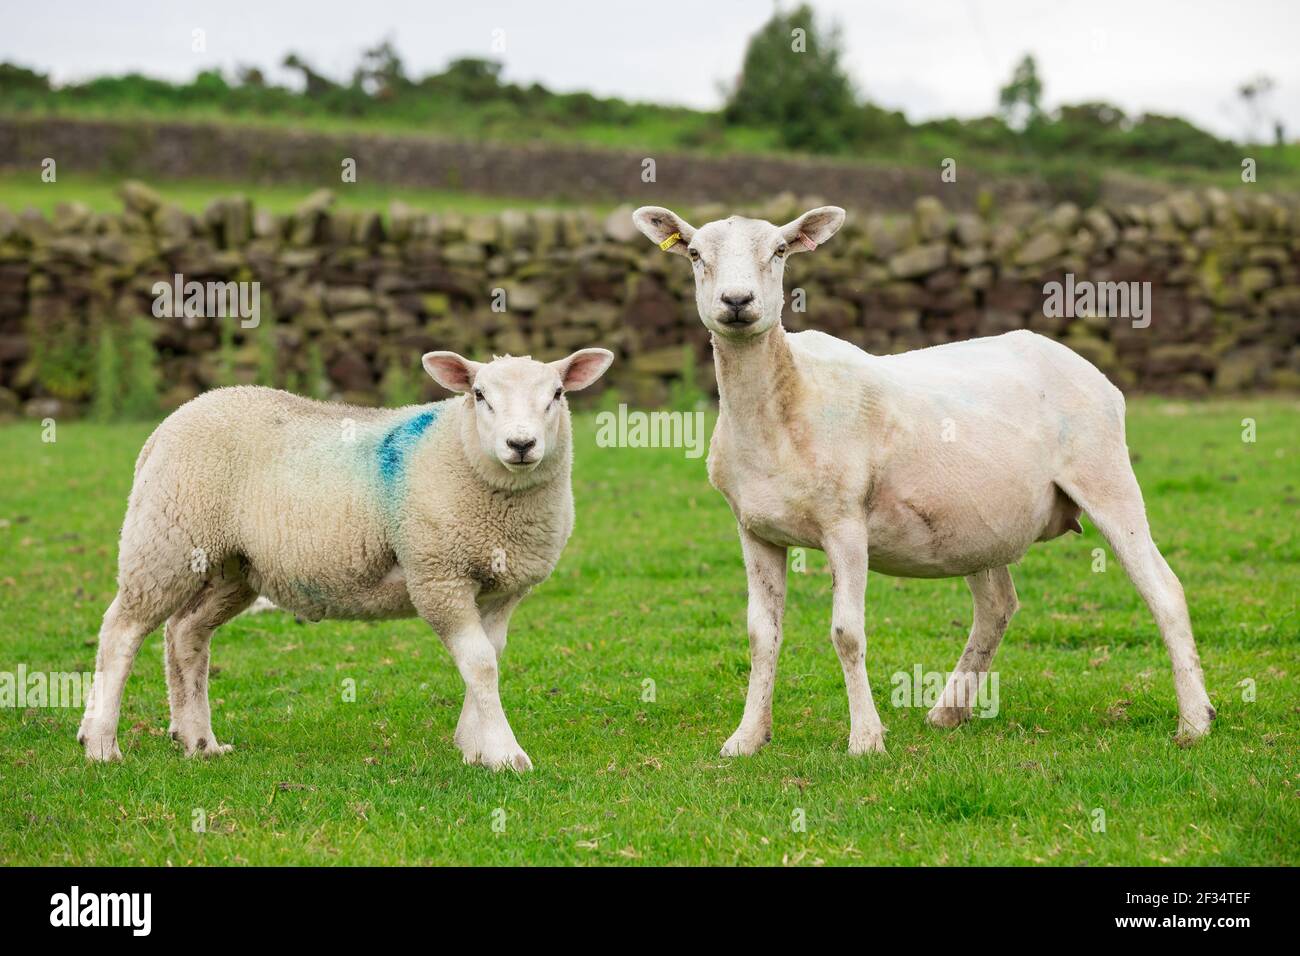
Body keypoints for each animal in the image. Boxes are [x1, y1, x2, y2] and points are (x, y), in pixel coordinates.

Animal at [77, 348, 614, 771]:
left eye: (558, 394)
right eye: (480, 395)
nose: (521, 444)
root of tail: (169, 423)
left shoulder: (503, 588)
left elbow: (488, 658)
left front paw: (473, 744)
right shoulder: (438, 574)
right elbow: (480, 663)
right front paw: (504, 754)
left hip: (234, 566)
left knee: (186, 634)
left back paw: (199, 742)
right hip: (165, 542)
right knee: (121, 633)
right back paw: (100, 744)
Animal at [632, 204, 1214, 755]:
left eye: (779, 250)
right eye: (694, 254)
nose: (737, 301)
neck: (785, 399)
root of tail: (1083, 365)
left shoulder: (846, 524)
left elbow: (847, 633)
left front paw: (866, 739)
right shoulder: (755, 530)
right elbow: (761, 635)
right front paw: (747, 738)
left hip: (1105, 474)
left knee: (1164, 590)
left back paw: (1194, 722)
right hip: (977, 525)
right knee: (998, 607)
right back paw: (948, 711)